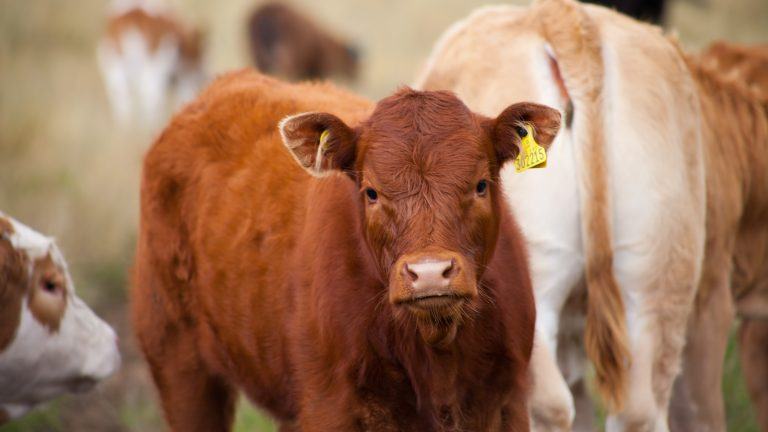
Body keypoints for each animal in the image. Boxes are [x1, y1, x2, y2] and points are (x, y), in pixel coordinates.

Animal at [132, 70, 561, 431]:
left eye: (480, 185)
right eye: (371, 192)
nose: (429, 273)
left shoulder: (508, 401)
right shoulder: (329, 405)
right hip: (178, 360)